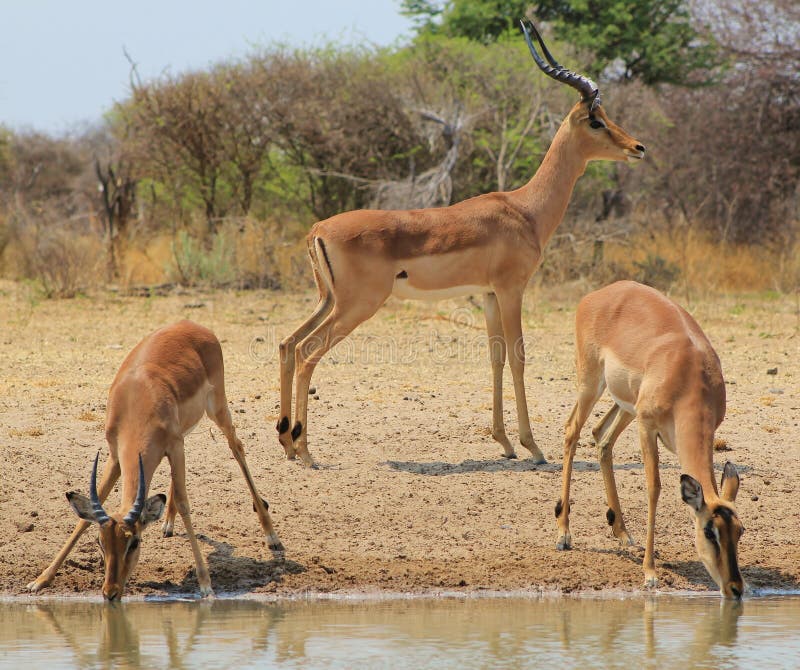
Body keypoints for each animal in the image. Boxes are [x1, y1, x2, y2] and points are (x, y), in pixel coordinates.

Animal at [27, 320, 284, 600]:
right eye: (100, 542)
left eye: (134, 542)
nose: (110, 592)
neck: (136, 402)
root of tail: (193, 325)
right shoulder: (115, 456)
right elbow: (87, 514)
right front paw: (40, 579)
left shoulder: (173, 446)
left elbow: (184, 503)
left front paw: (206, 585)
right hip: (184, 431)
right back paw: (168, 524)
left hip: (216, 409)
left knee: (236, 446)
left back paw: (272, 537)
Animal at [277, 20, 646, 467]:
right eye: (595, 120)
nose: (637, 148)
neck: (525, 209)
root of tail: (318, 228)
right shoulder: (510, 289)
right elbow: (519, 358)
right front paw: (532, 446)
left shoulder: (487, 294)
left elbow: (495, 358)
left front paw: (504, 443)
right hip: (356, 305)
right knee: (307, 352)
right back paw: (306, 451)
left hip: (327, 300)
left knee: (287, 344)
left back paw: (287, 444)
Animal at [556, 281, 745, 598]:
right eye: (709, 531)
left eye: (740, 530)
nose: (736, 588)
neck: (687, 372)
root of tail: (598, 294)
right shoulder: (647, 428)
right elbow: (653, 488)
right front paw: (650, 574)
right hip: (592, 384)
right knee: (572, 431)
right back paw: (563, 534)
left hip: (626, 405)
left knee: (601, 437)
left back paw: (622, 532)